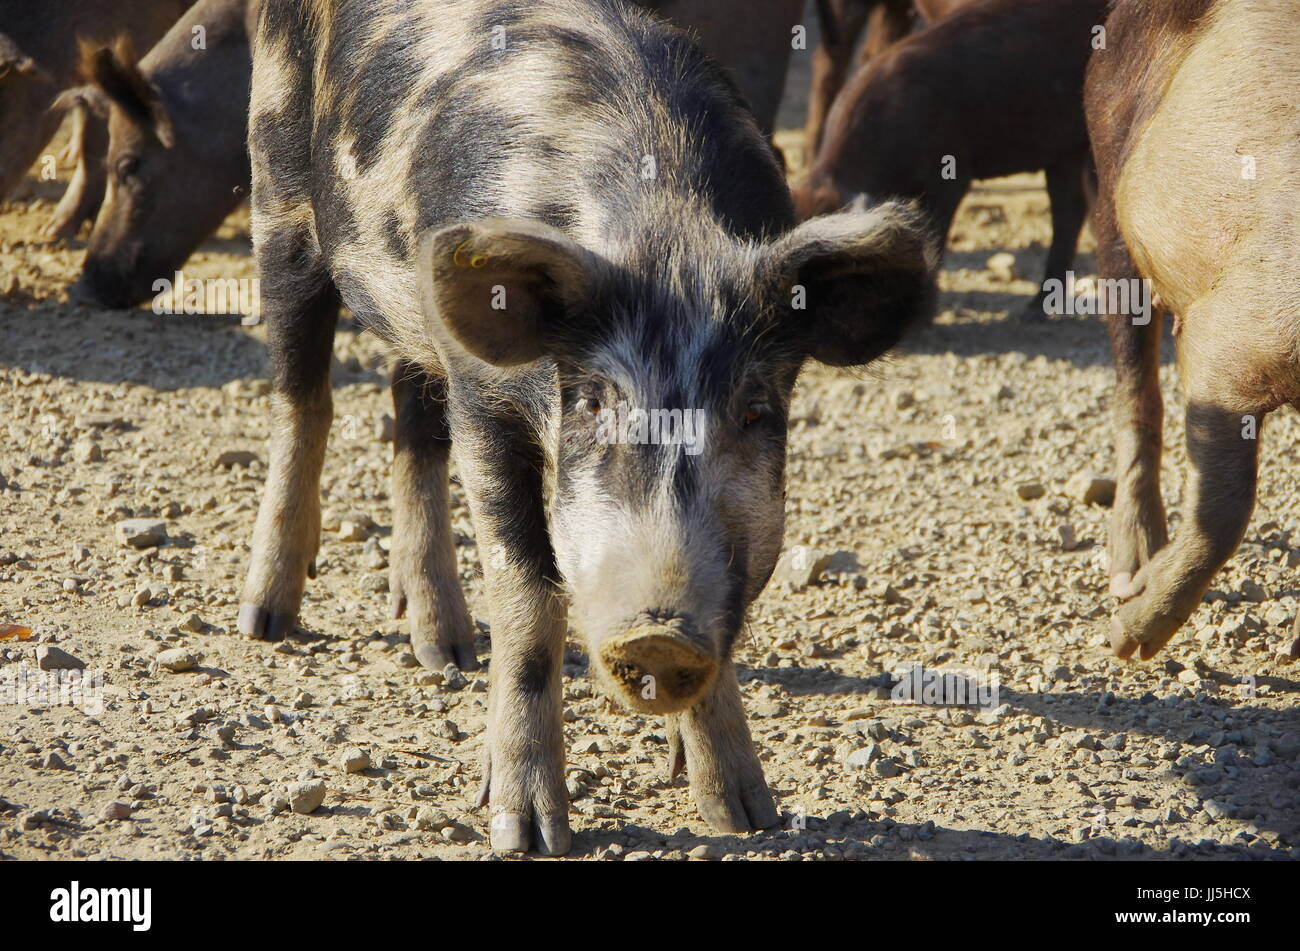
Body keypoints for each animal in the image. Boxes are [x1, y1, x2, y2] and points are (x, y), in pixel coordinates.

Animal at [240, 0, 938, 853]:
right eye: (596, 403)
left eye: (754, 411)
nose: (657, 632)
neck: (662, 235)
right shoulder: (484, 397)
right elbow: (529, 592)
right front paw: (524, 832)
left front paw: (745, 812)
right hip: (278, 185)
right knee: (303, 398)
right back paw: (268, 620)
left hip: (414, 304)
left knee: (412, 416)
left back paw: (445, 647)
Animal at [1085, 0, 1300, 661]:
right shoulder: (1230, 342)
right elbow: (1224, 505)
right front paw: (1127, 638)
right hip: (1111, 182)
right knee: (1136, 380)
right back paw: (1130, 566)